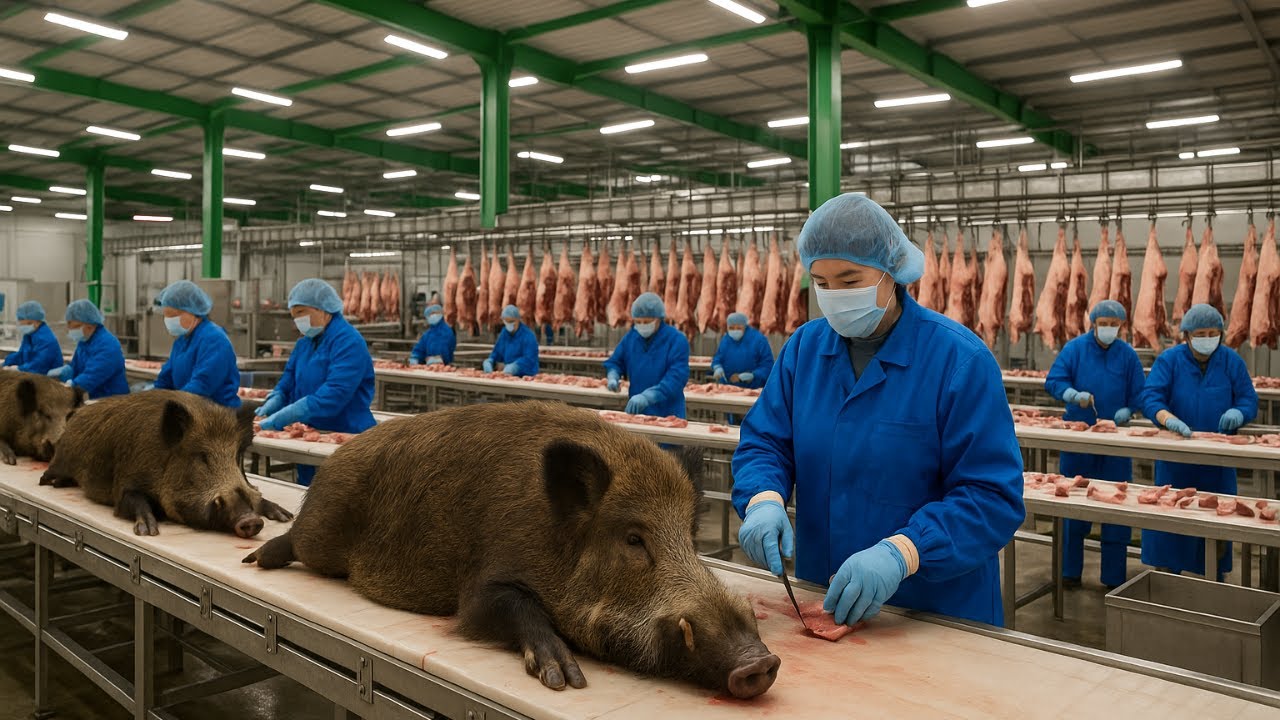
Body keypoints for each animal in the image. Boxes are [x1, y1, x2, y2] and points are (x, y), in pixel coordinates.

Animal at [38, 390, 293, 538]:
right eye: (201, 456)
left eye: (236, 457)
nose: (251, 521)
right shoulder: (124, 484)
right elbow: (133, 501)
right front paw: (148, 531)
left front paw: (285, 517)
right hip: (60, 459)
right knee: (48, 475)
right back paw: (51, 482)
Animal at [244, 400, 780, 698]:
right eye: (633, 538)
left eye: (690, 535)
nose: (761, 663)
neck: (557, 539)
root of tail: (336, 457)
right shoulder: (481, 584)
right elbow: (505, 605)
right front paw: (565, 679)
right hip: (320, 532)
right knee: (295, 544)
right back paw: (255, 557)